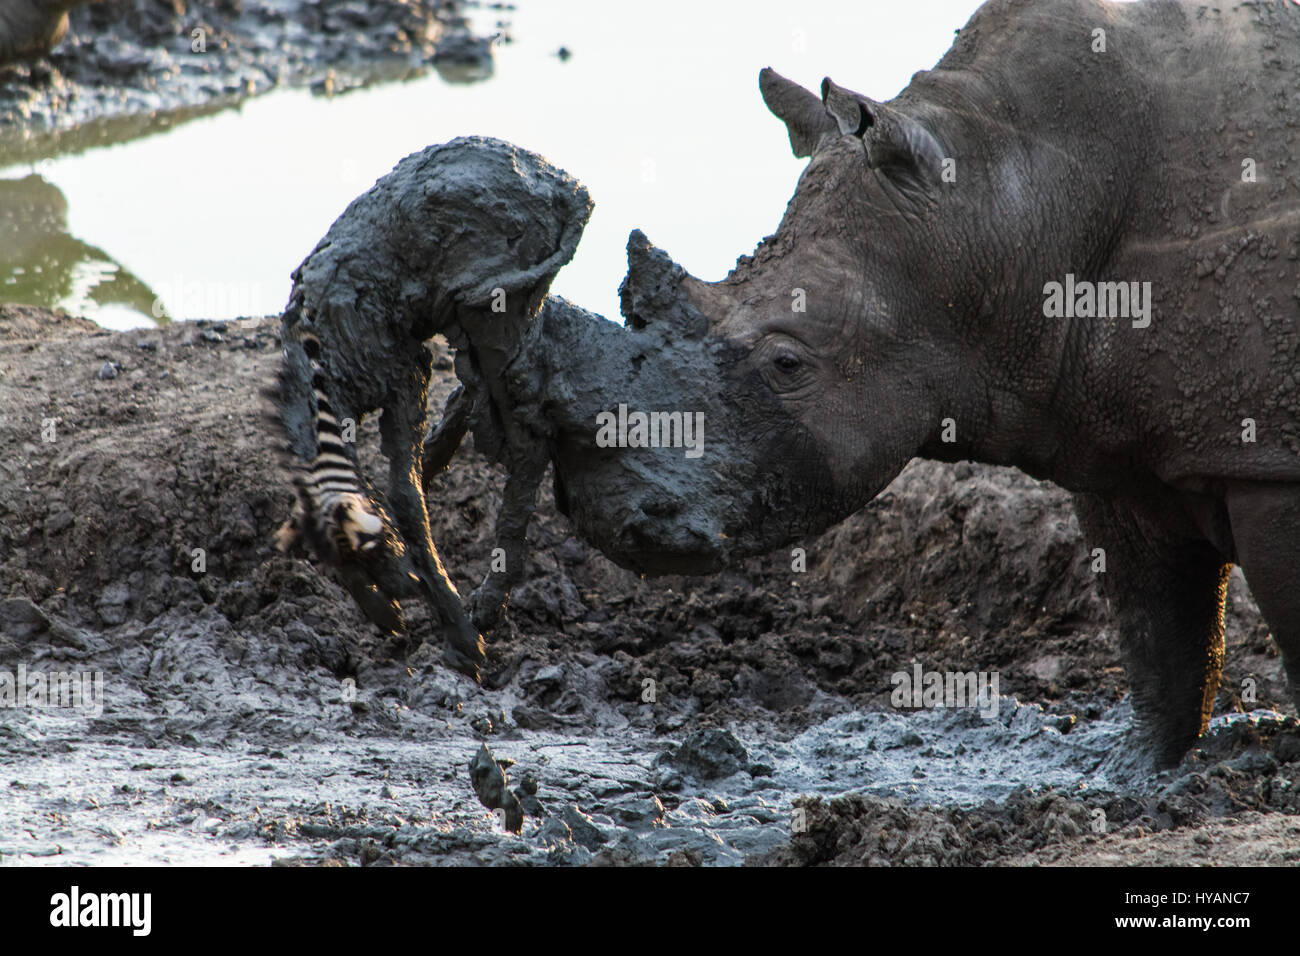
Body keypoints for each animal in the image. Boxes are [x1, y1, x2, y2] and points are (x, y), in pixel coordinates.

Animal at [281, 0, 1300, 770]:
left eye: (787, 365)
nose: (608, 515)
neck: (1004, 202)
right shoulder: (1099, 429)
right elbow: (1158, 628)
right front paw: (1136, 777)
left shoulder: (1265, 457)